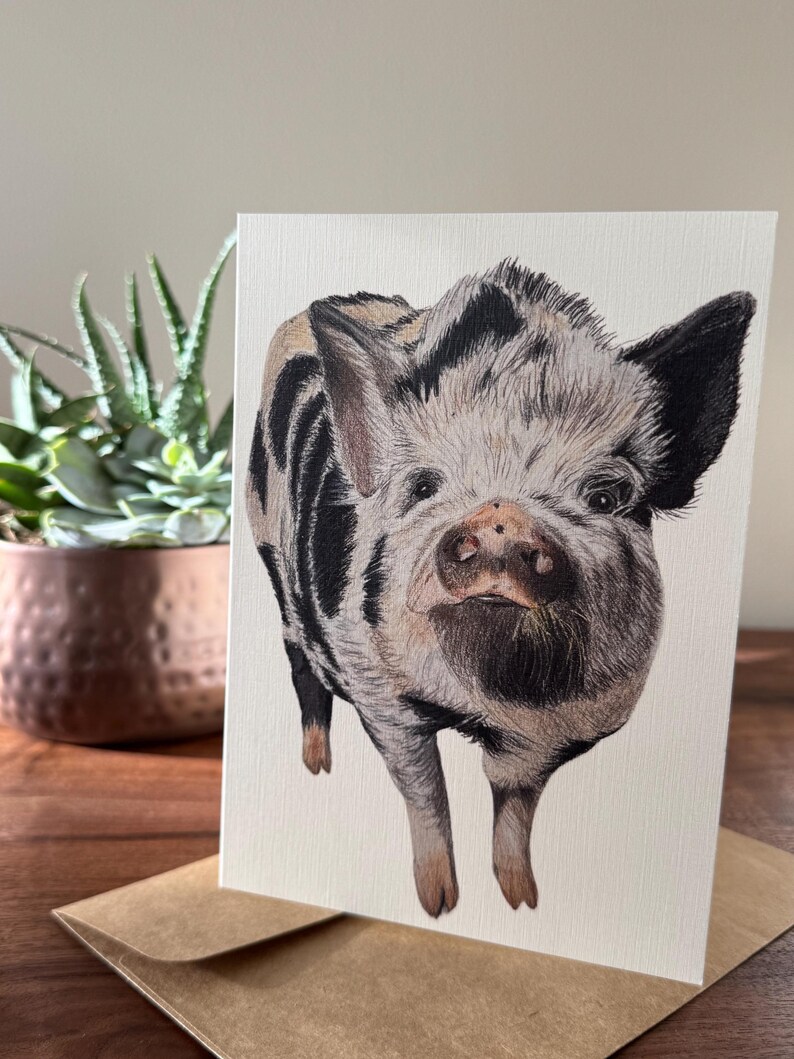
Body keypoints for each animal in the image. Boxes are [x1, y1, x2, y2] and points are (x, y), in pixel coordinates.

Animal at [246, 259, 755, 917]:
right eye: (423, 486)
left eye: (606, 496)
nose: (500, 519)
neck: (486, 696)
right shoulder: (381, 694)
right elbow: (425, 787)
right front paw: (439, 904)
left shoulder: (558, 730)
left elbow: (514, 801)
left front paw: (523, 902)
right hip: (271, 558)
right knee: (299, 661)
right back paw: (316, 767)